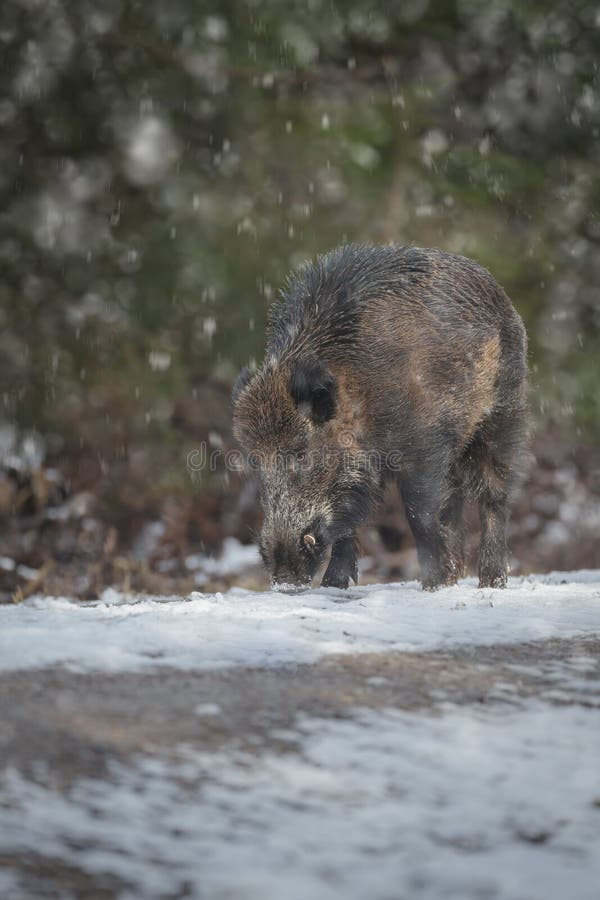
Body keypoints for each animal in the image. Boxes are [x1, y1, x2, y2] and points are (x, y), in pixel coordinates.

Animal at [232, 244, 528, 591]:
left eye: (301, 454)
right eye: (255, 461)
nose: (283, 578)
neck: (360, 394)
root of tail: (500, 293)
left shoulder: (423, 448)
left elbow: (419, 514)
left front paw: (432, 584)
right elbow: (349, 520)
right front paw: (334, 585)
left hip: (501, 417)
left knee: (494, 494)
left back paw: (490, 582)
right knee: (455, 505)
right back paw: (455, 578)